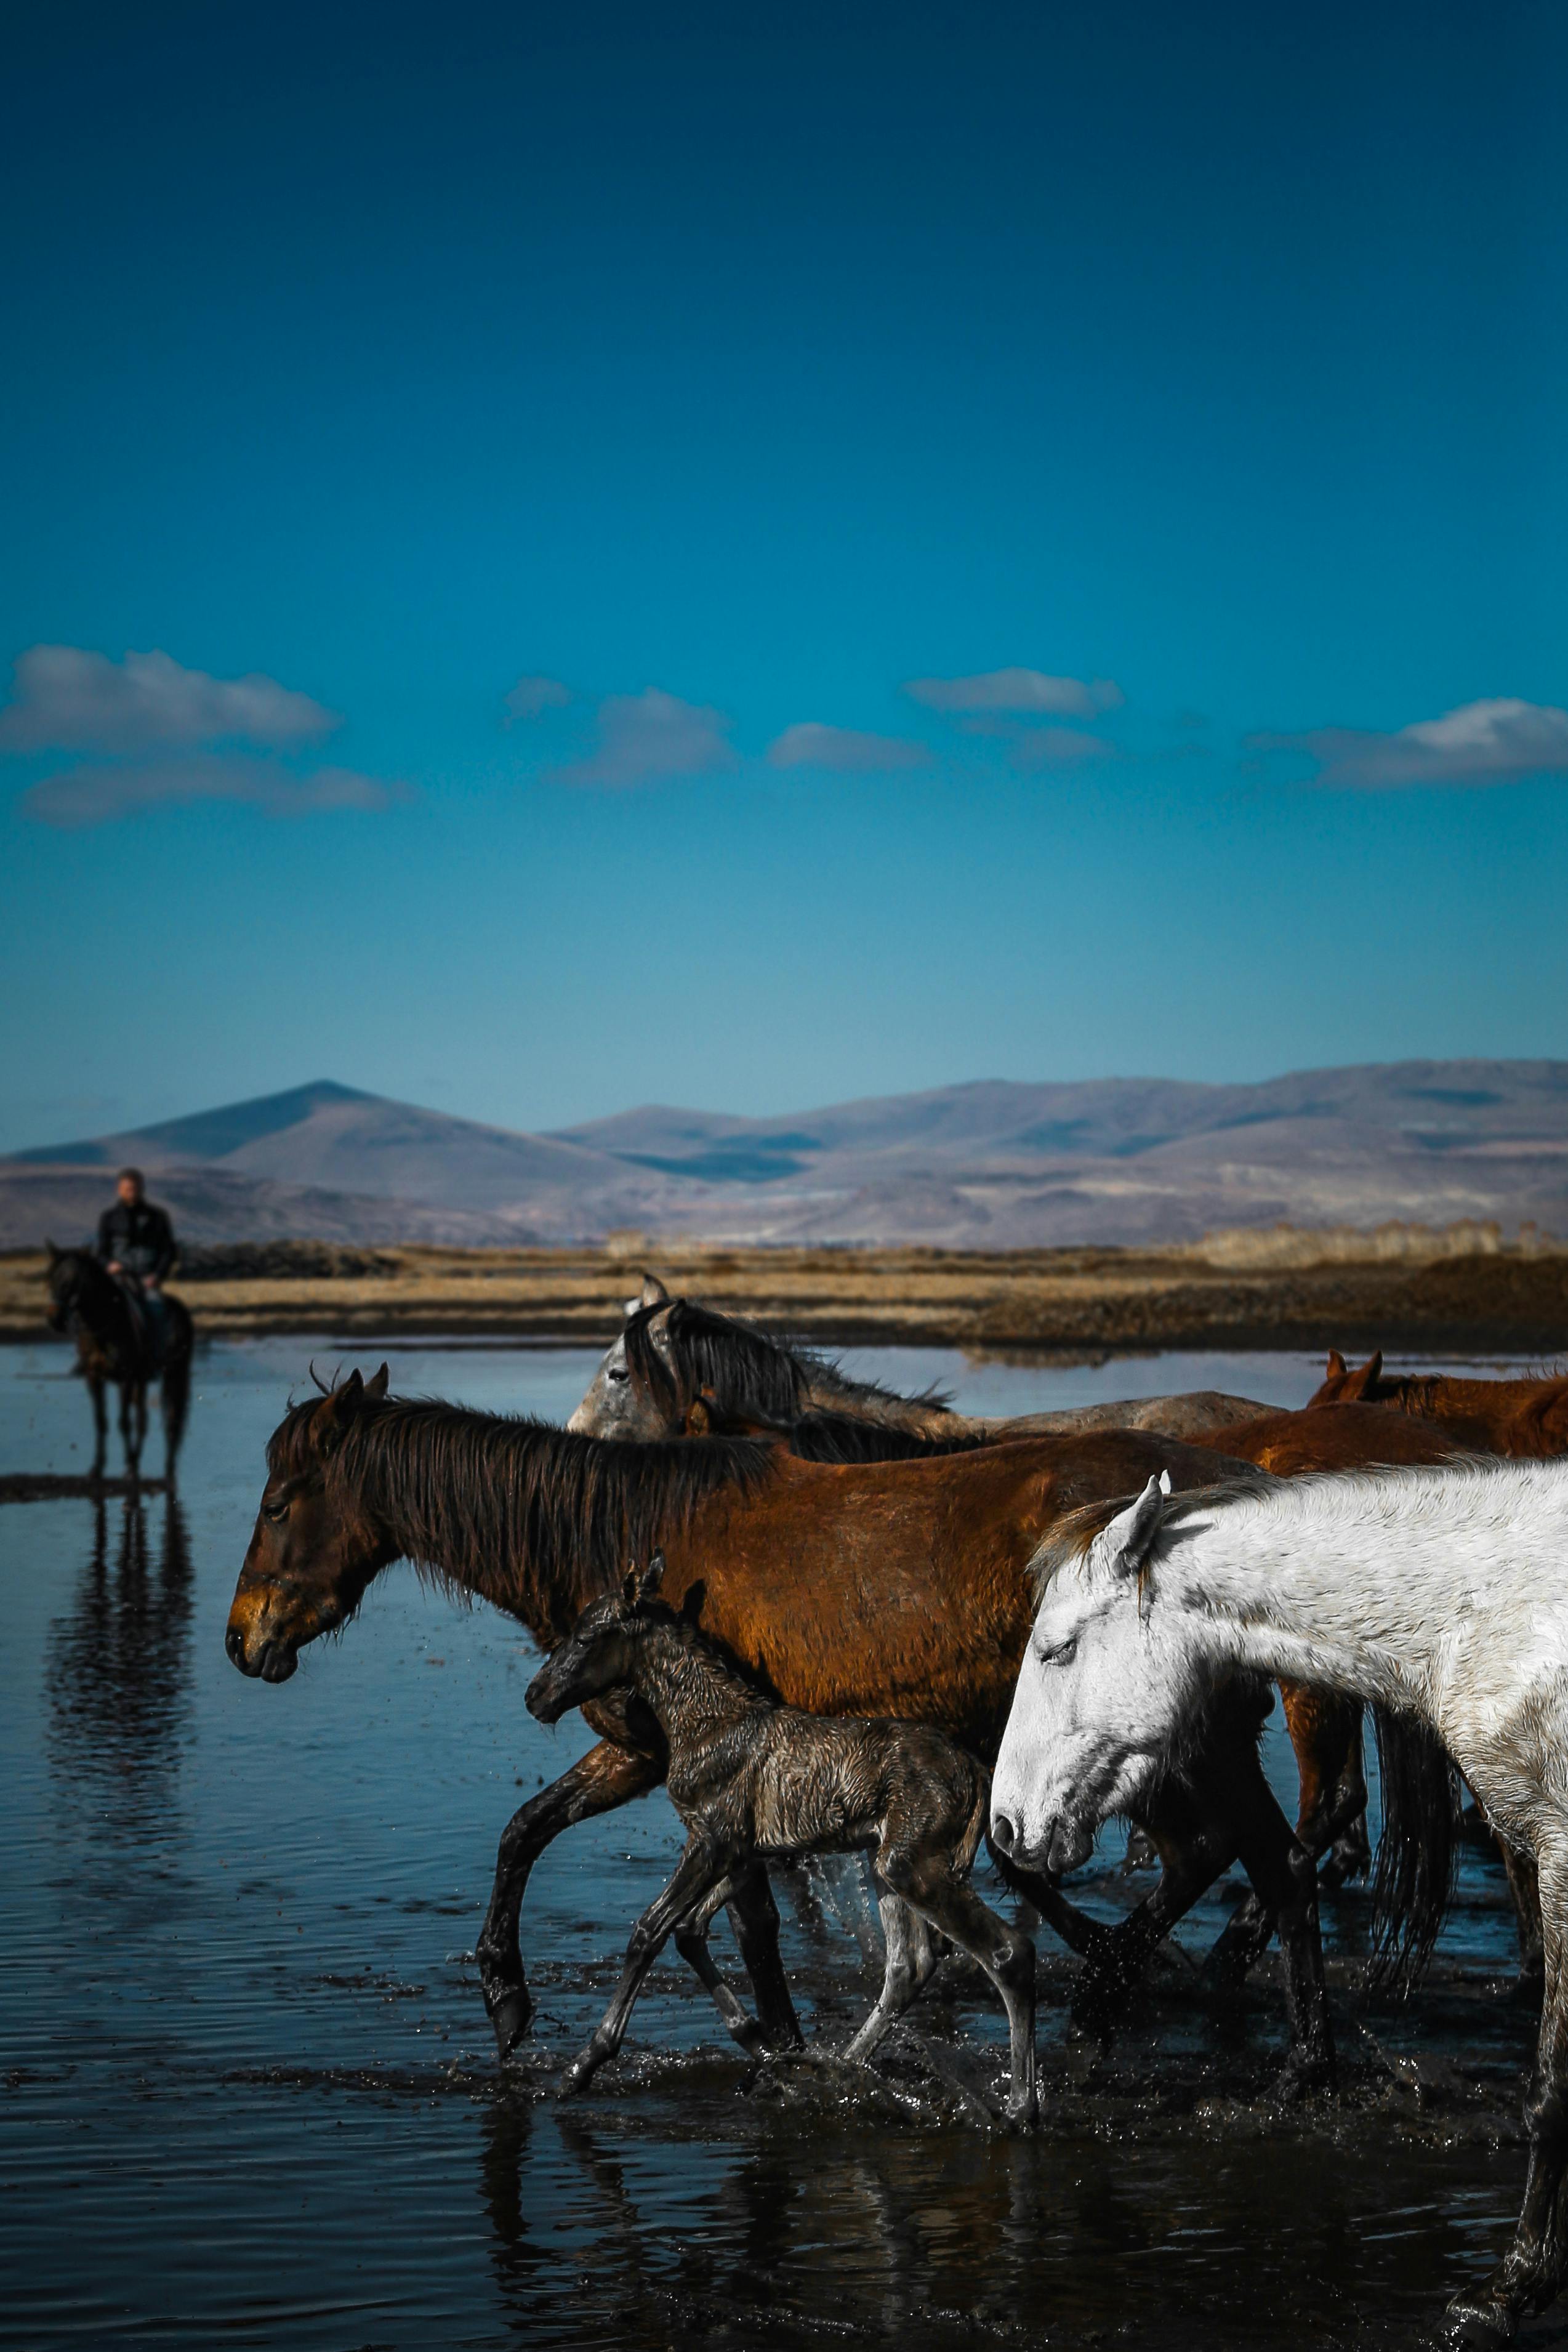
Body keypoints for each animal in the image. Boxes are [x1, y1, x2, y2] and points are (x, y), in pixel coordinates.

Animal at [45, 1245, 193, 1486]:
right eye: (51, 1278)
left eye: (72, 1280)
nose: (54, 1319)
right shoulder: (94, 1378)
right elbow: (101, 1421)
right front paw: (97, 1469)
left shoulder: (126, 1378)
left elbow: (123, 1422)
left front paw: (130, 1469)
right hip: (143, 1380)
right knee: (143, 1421)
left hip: (174, 1374)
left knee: (171, 1418)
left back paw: (166, 1469)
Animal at [527, 1551, 1038, 2120]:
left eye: (584, 1637)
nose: (535, 1696)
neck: (698, 1723)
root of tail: (977, 1774)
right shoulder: (744, 1850)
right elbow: (690, 1931)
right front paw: (760, 2041)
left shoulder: (713, 1839)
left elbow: (650, 1930)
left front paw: (583, 2065)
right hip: (887, 1863)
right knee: (909, 1966)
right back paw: (838, 2068)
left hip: (912, 1865)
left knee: (1007, 1952)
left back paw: (1020, 2108)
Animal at [991, 1457, 1568, 2343]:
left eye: (1056, 1650)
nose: (1005, 1823)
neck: (1497, 1609)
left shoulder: (1559, 1854)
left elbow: (1548, 2090)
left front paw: (1507, 2294)